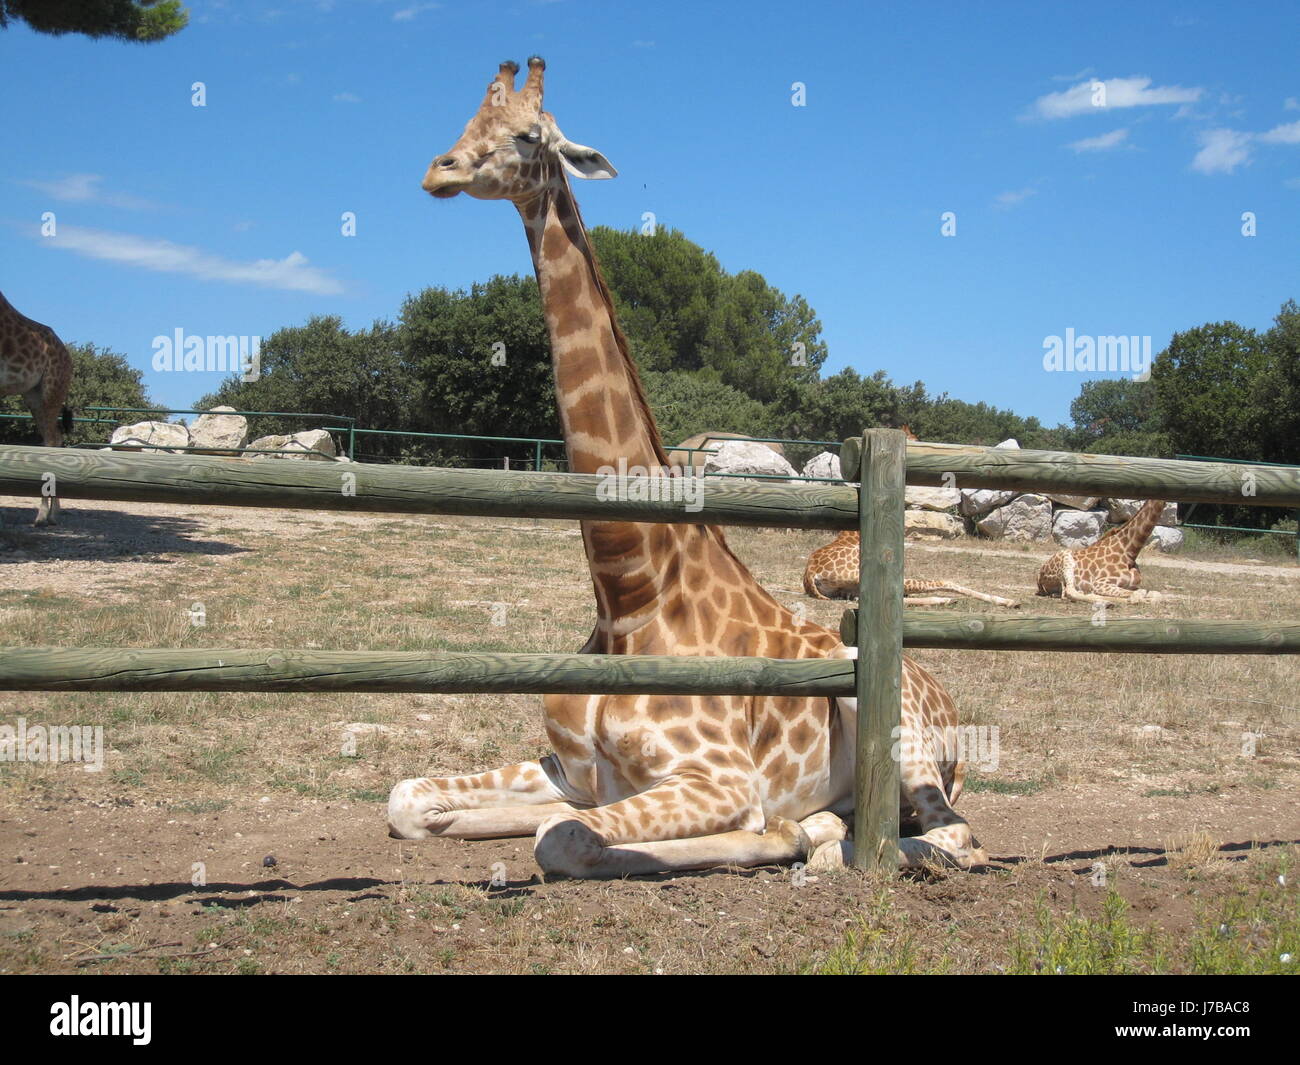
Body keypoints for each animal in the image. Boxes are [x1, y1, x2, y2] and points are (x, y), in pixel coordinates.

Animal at [0, 290, 73, 525]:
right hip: (34, 396)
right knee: (55, 438)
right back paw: (52, 512)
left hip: (52, 390)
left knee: (51, 441)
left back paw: (45, 515)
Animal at [388, 58, 985, 877]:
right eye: (466, 119)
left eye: (526, 134)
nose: (438, 170)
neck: (627, 598)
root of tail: (949, 701)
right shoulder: (567, 770)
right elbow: (407, 799)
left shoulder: (717, 777)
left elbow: (565, 836)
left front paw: (770, 834)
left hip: (897, 735)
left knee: (953, 836)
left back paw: (822, 841)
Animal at [1037, 498, 1167, 603]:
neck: (1130, 552)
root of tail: (1039, 578)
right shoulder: (1100, 583)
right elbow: (1137, 595)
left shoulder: (1132, 586)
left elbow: (1156, 594)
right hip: (1066, 557)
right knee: (1070, 591)